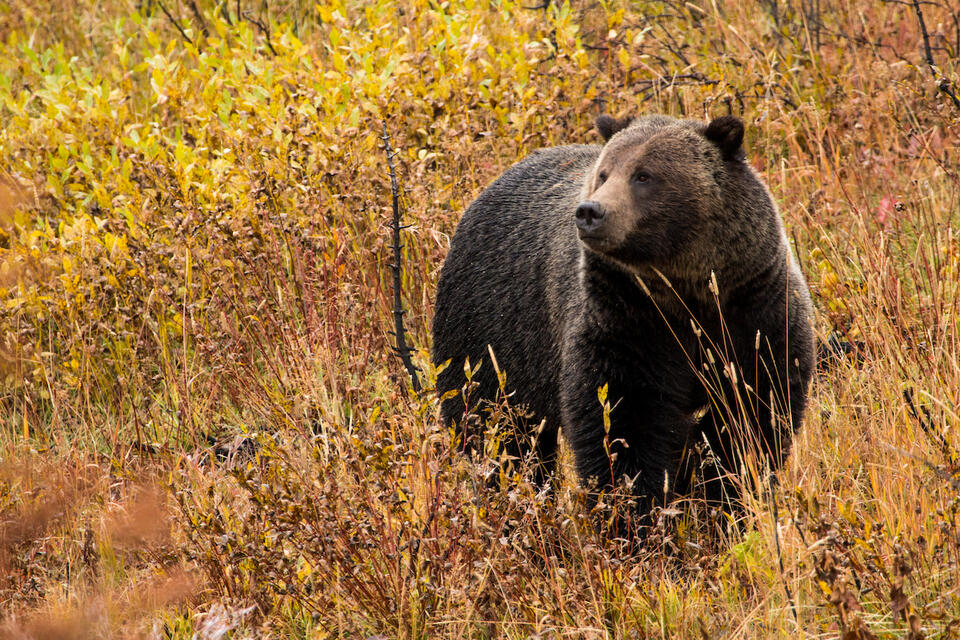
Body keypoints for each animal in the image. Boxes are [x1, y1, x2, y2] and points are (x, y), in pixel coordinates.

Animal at [432, 114, 815, 521]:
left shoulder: (755, 311)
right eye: (604, 173)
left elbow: (753, 413)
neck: (688, 294)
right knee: (499, 430)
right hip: (491, 332)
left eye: (644, 175)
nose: (590, 211)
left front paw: (721, 497)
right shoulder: (626, 319)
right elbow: (623, 421)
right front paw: (635, 510)